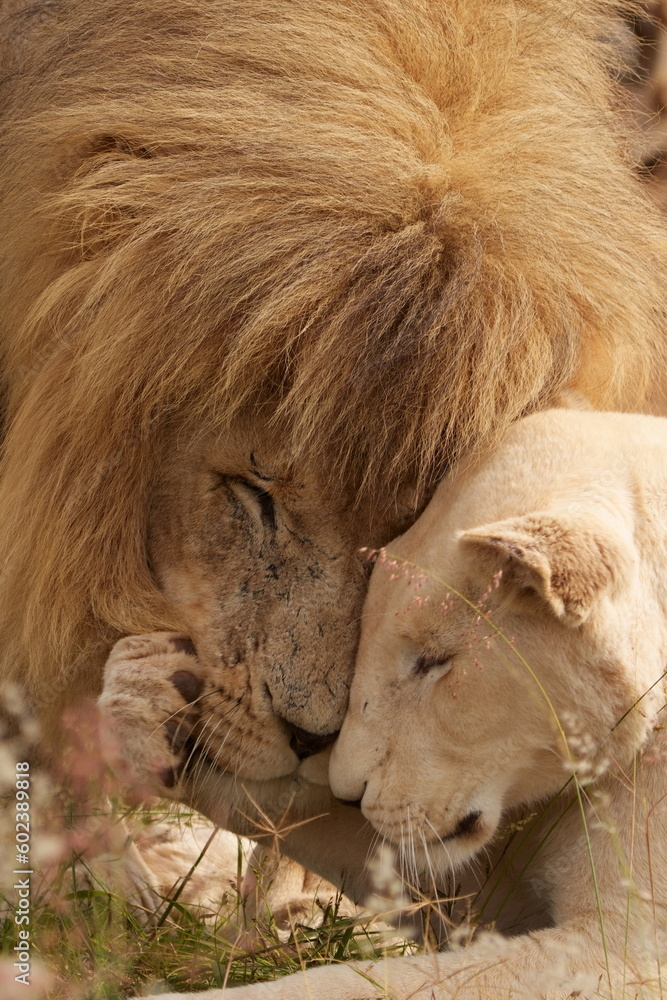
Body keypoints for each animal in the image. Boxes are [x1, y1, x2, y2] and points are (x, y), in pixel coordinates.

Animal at [108, 407, 667, 998]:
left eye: (433, 659)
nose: (348, 791)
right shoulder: (482, 891)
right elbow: (292, 808)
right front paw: (150, 697)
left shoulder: (621, 952)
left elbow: (354, 984)